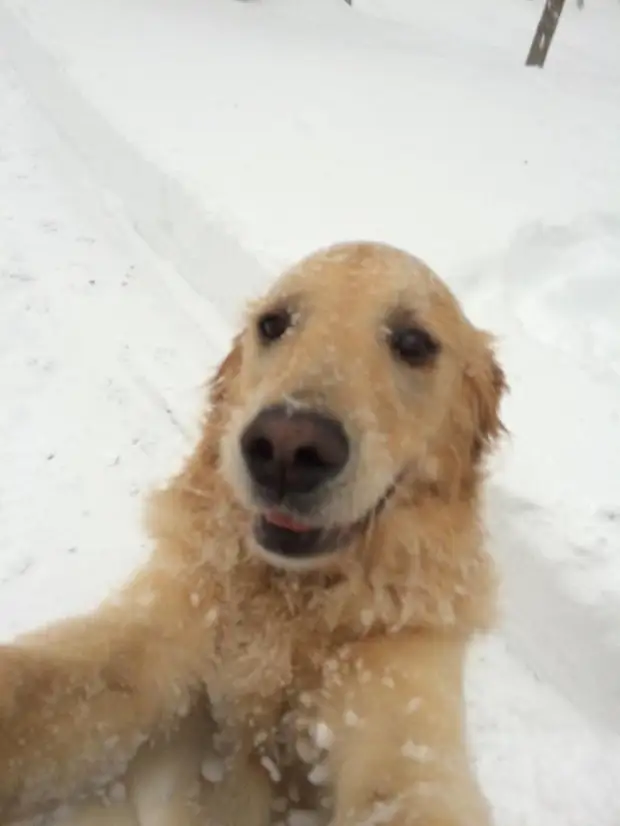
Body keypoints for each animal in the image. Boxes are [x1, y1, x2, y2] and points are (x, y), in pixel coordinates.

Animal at [0, 240, 504, 824]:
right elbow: (51, 681)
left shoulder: (398, 690)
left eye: (414, 342)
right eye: (273, 323)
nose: (286, 448)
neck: (287, 602)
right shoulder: (164, 627)